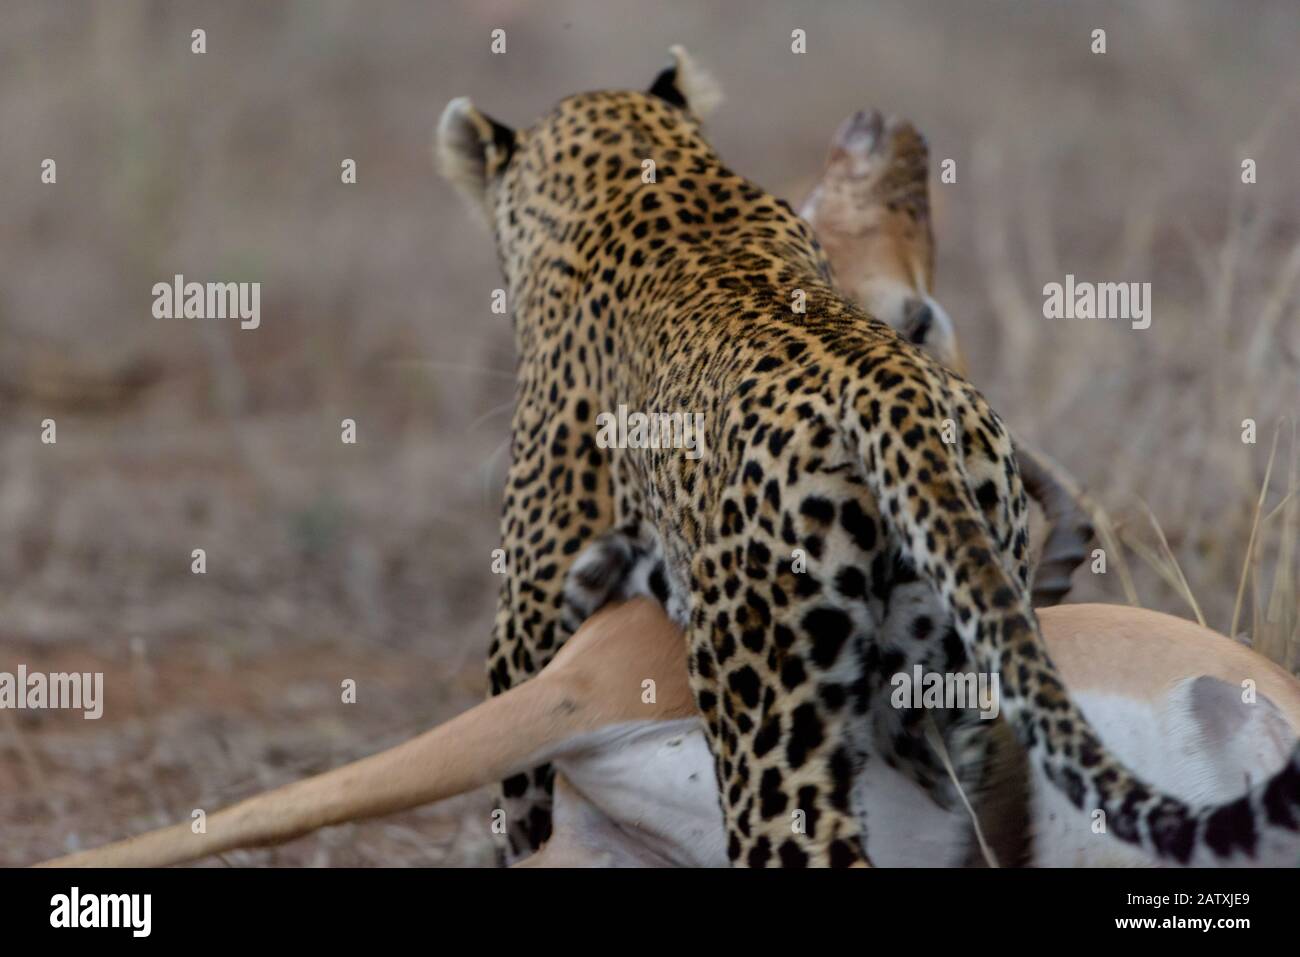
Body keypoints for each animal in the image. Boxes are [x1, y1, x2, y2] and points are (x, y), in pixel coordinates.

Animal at [437, 46, 1300, 866]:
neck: (638, 163)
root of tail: (894, 391)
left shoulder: (531, 601)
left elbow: (521, 789)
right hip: (951, 669)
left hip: (768, 711)